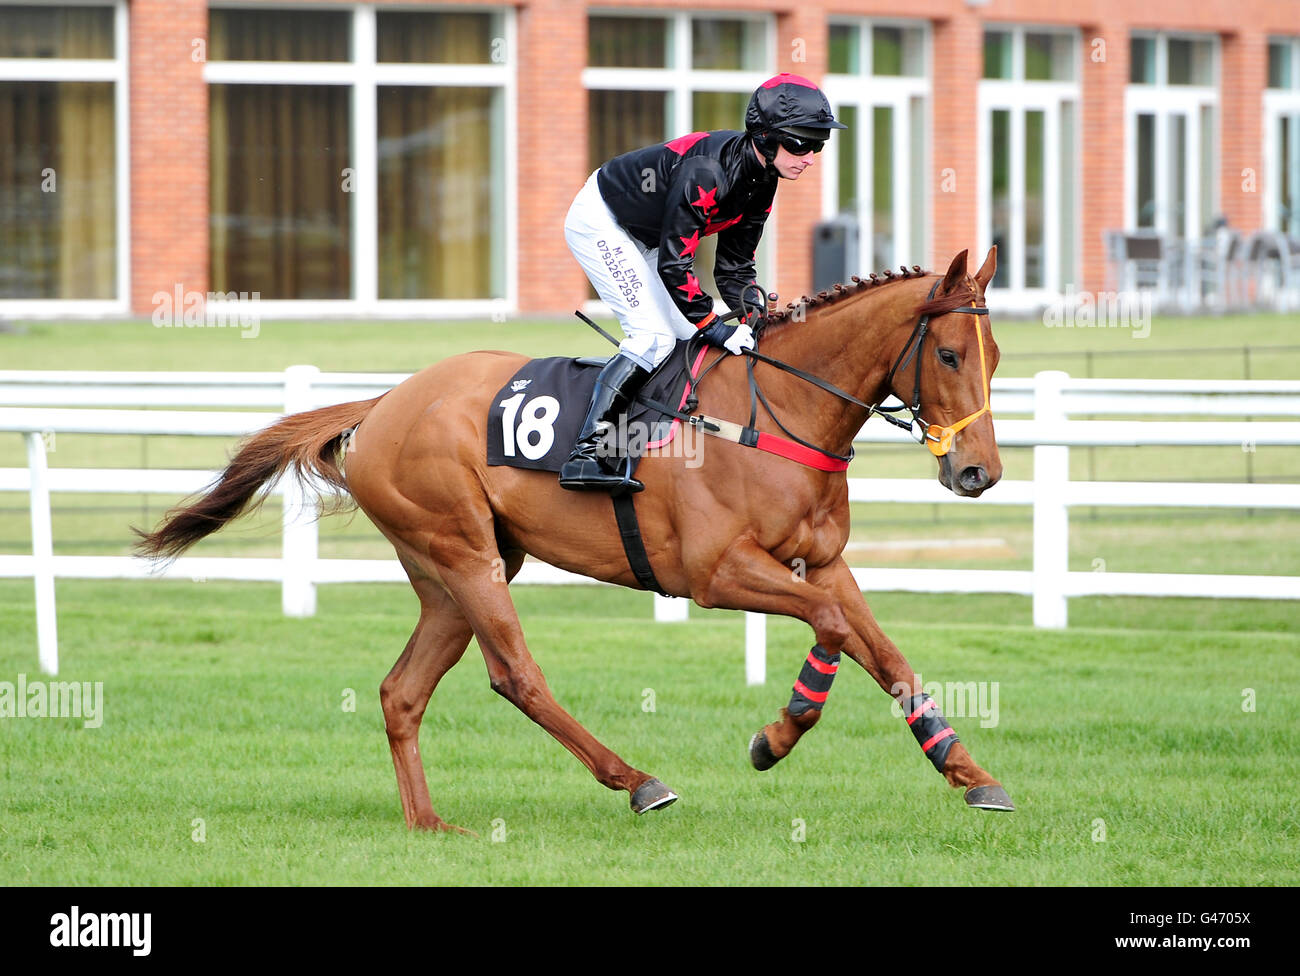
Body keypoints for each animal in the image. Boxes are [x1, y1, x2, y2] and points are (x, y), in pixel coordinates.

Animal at [135, 246, 1013, 832]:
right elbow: (832, 630)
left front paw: (970, 772)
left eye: (995, 356)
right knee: (516, 676)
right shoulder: (716, 572)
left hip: (454, 572)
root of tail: (385, 403)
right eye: (946, 354)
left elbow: (889, 657)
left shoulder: (823, 564)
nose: (979, 472)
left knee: (401, 691)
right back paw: (637, 780)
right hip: (465, 553)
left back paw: (429, 823)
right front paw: (778, 734)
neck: (778, 412)